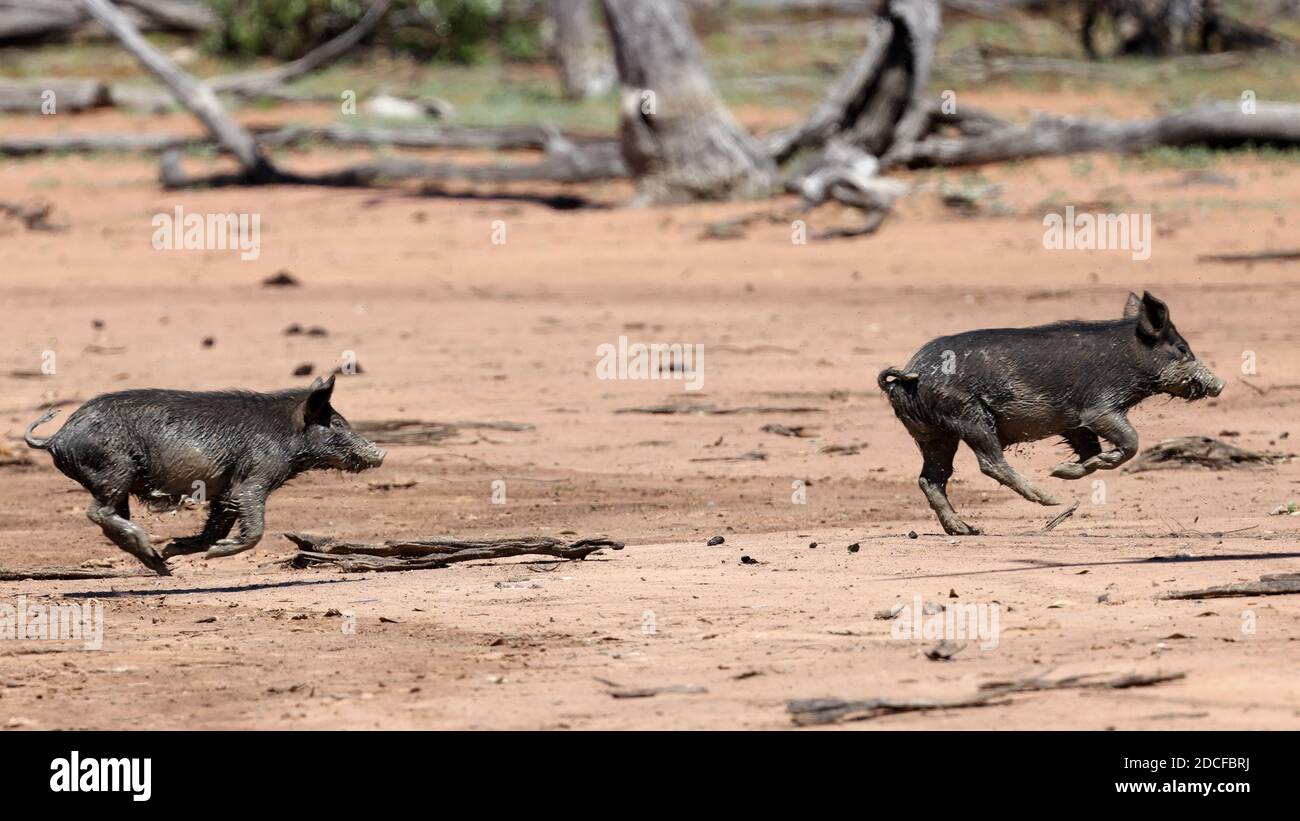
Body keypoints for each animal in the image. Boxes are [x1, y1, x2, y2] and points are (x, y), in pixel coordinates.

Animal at [23, 376, 385, 575]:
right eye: (336, 423)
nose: (381, 453)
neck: (289, 434)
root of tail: (57, 437)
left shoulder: (225, 490)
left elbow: (215, 525)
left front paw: (175, 548)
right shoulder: (257, 473)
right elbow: (253, 526)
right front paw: (214, 553)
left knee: (109, 515)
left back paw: (161, 565)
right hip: (114, 469)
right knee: (97, 511)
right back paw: (156, 559)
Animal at [878, 292, 1224, 535]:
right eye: (1182, 349)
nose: (1219, 384)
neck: (1131, 358)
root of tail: (910, 374)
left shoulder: (1073, 422)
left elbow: (1089, 449)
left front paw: (1064, 469)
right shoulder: (1100, 407)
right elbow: (1130, 442)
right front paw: (1062, 474)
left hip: (934, 433)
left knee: (931, 477)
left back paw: (966, 530)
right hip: (968, 416)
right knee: (990, 463)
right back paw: (1050, 498)